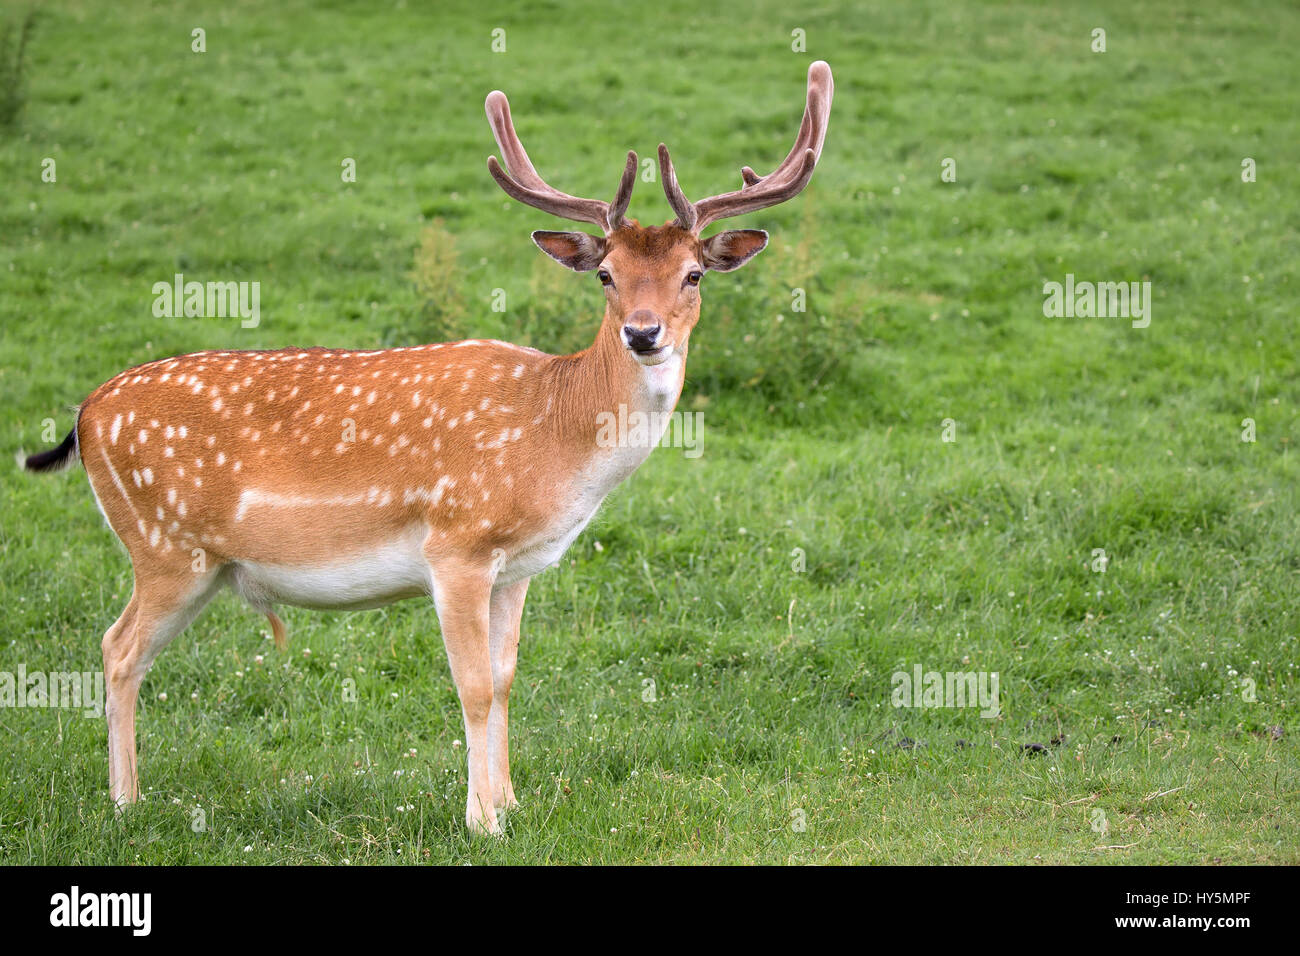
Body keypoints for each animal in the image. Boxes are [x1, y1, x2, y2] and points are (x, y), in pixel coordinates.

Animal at [23, 61, 833, 836]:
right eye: (606, 274)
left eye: (693, 274)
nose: (642, 332)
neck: (556, 440)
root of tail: (86, 414)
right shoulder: (458, 545)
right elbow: (471, 686)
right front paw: (481, 823)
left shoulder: (518, 567)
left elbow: (505, 679)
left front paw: (511, 803)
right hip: (166, 547)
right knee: (117, 648)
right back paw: (126, 803)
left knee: (119, 645)